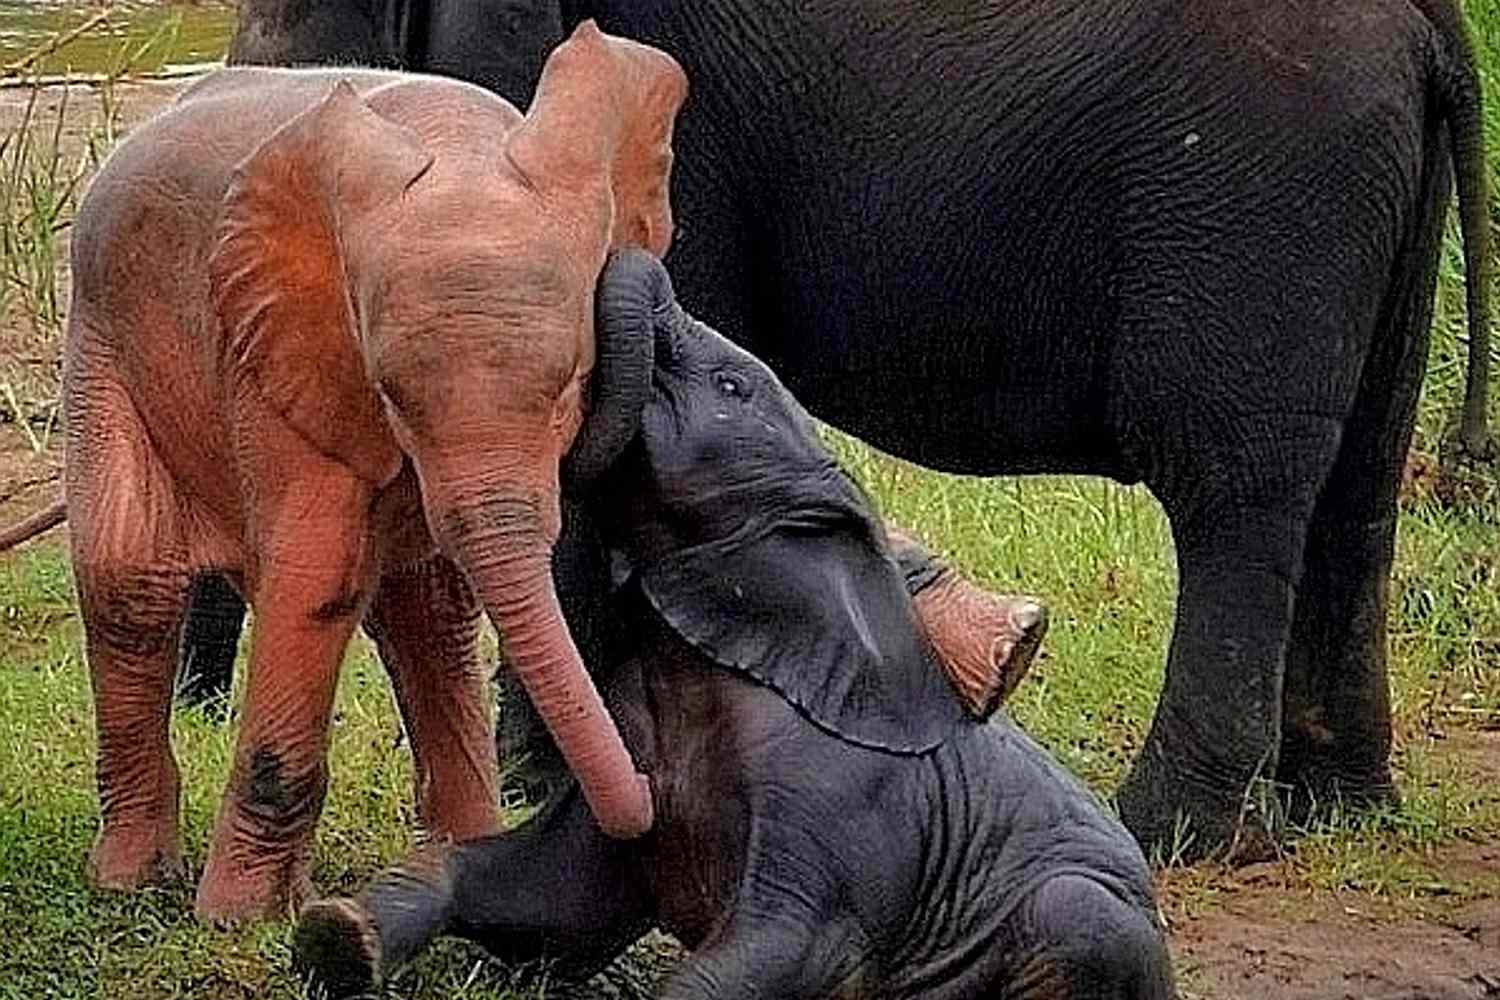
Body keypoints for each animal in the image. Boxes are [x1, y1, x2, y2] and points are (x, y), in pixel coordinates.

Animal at [52, 21, 691, 924]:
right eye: (390, 395)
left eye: (574, 383)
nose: (647, 807)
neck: (458, 144)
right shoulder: (278, 356)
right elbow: (316, 577)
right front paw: (238, 919)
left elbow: (424, 592)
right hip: (103, 343)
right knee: (129, 582)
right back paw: (134, 882)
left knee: (427, 614)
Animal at [224, 0, 1497, 859]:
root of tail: (1433, 31)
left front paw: (557, 781)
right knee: (1357, 489)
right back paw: (1339, 805)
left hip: (1259, 203)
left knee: (1235, 493)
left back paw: (1169, 831)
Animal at [290, 250, 1176, 1000]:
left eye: (730, 388)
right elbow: (549, 899)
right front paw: (337, 936)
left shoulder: (846, 801)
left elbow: (784, 950)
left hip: (1086, 915)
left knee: (1072, 921)